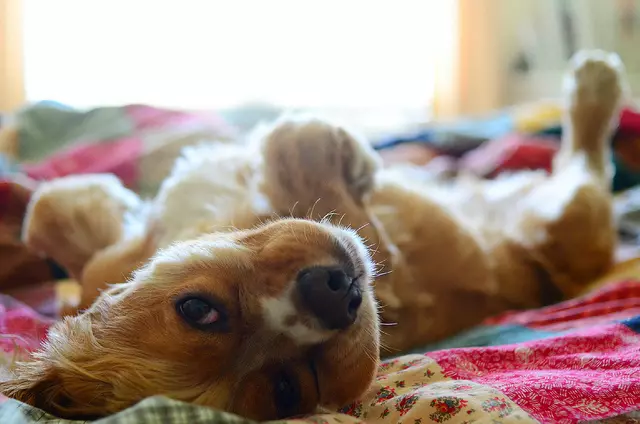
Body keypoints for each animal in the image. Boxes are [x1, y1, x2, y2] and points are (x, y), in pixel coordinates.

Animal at [0, 50, 632, 420]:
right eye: (288, 392)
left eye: (197, 309)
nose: (333, 292)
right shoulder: (391, 273)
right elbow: (303, 156)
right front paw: (333, 153)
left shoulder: (107, 256)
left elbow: (46, 213)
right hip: (570, 216)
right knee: (585, 160)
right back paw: (595, 86)